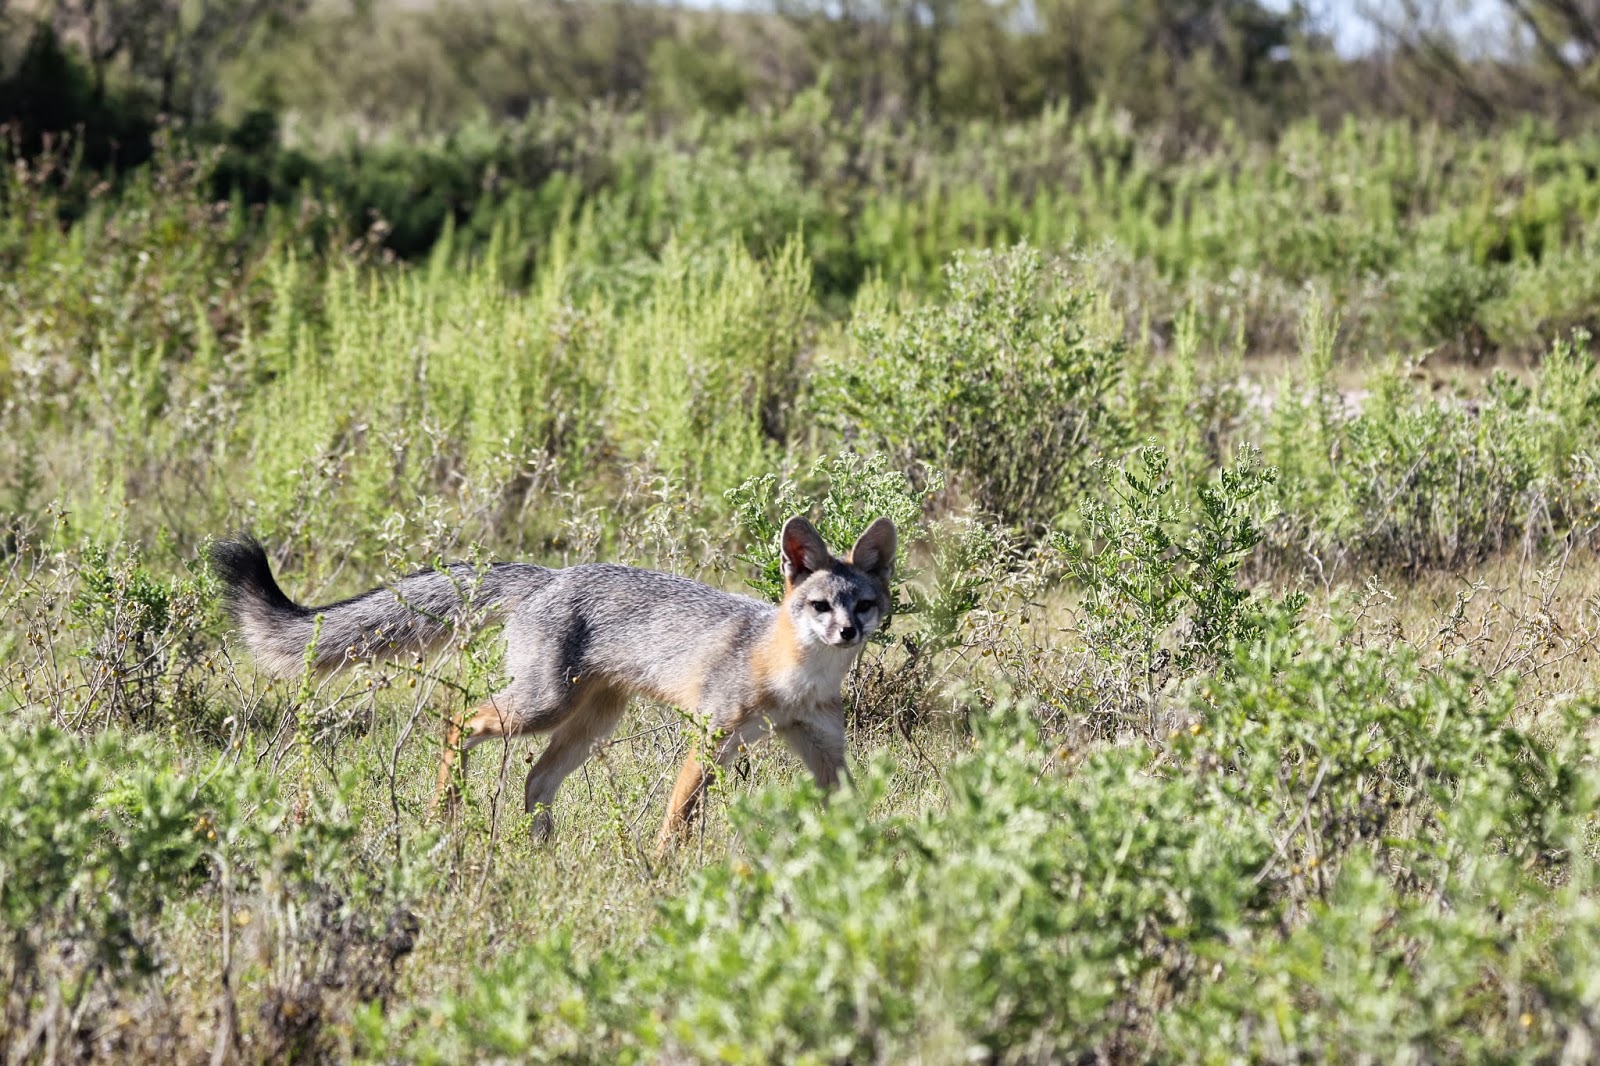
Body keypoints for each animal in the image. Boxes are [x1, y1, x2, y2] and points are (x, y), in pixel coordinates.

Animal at [208, 515, 896, 852]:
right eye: (819, 606)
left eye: (863, 606)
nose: (846, 634)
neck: (792, 678)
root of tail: (548, 574)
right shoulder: (712, 735)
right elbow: (677, 818)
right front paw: (661, 869)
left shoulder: (821, 746)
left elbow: (853, 810)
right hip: (539, 707)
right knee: (456, 722)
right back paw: (444, 811)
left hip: (589, 723)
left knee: (536, 779)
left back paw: (539, 851)